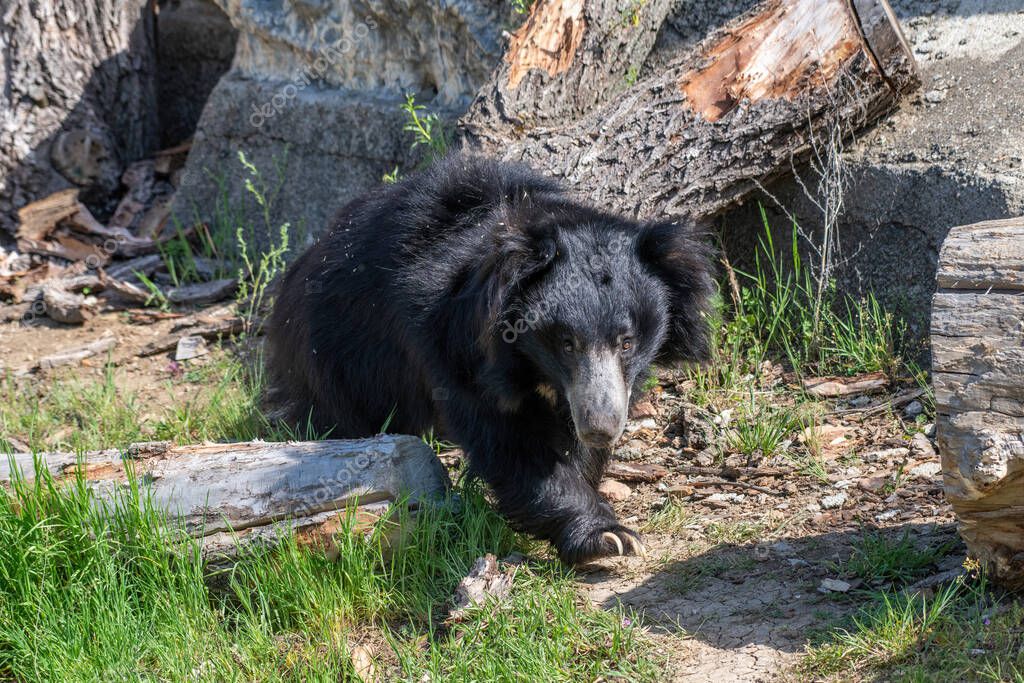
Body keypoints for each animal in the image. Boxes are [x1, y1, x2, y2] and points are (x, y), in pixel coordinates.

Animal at [265, 155, 713, 563]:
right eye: (566, 343)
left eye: (626, 342)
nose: (600, 428)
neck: (531, 366)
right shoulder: (451, 343)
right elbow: (509, 443)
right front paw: (609, 538)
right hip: (338, 354)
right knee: (339, 414)